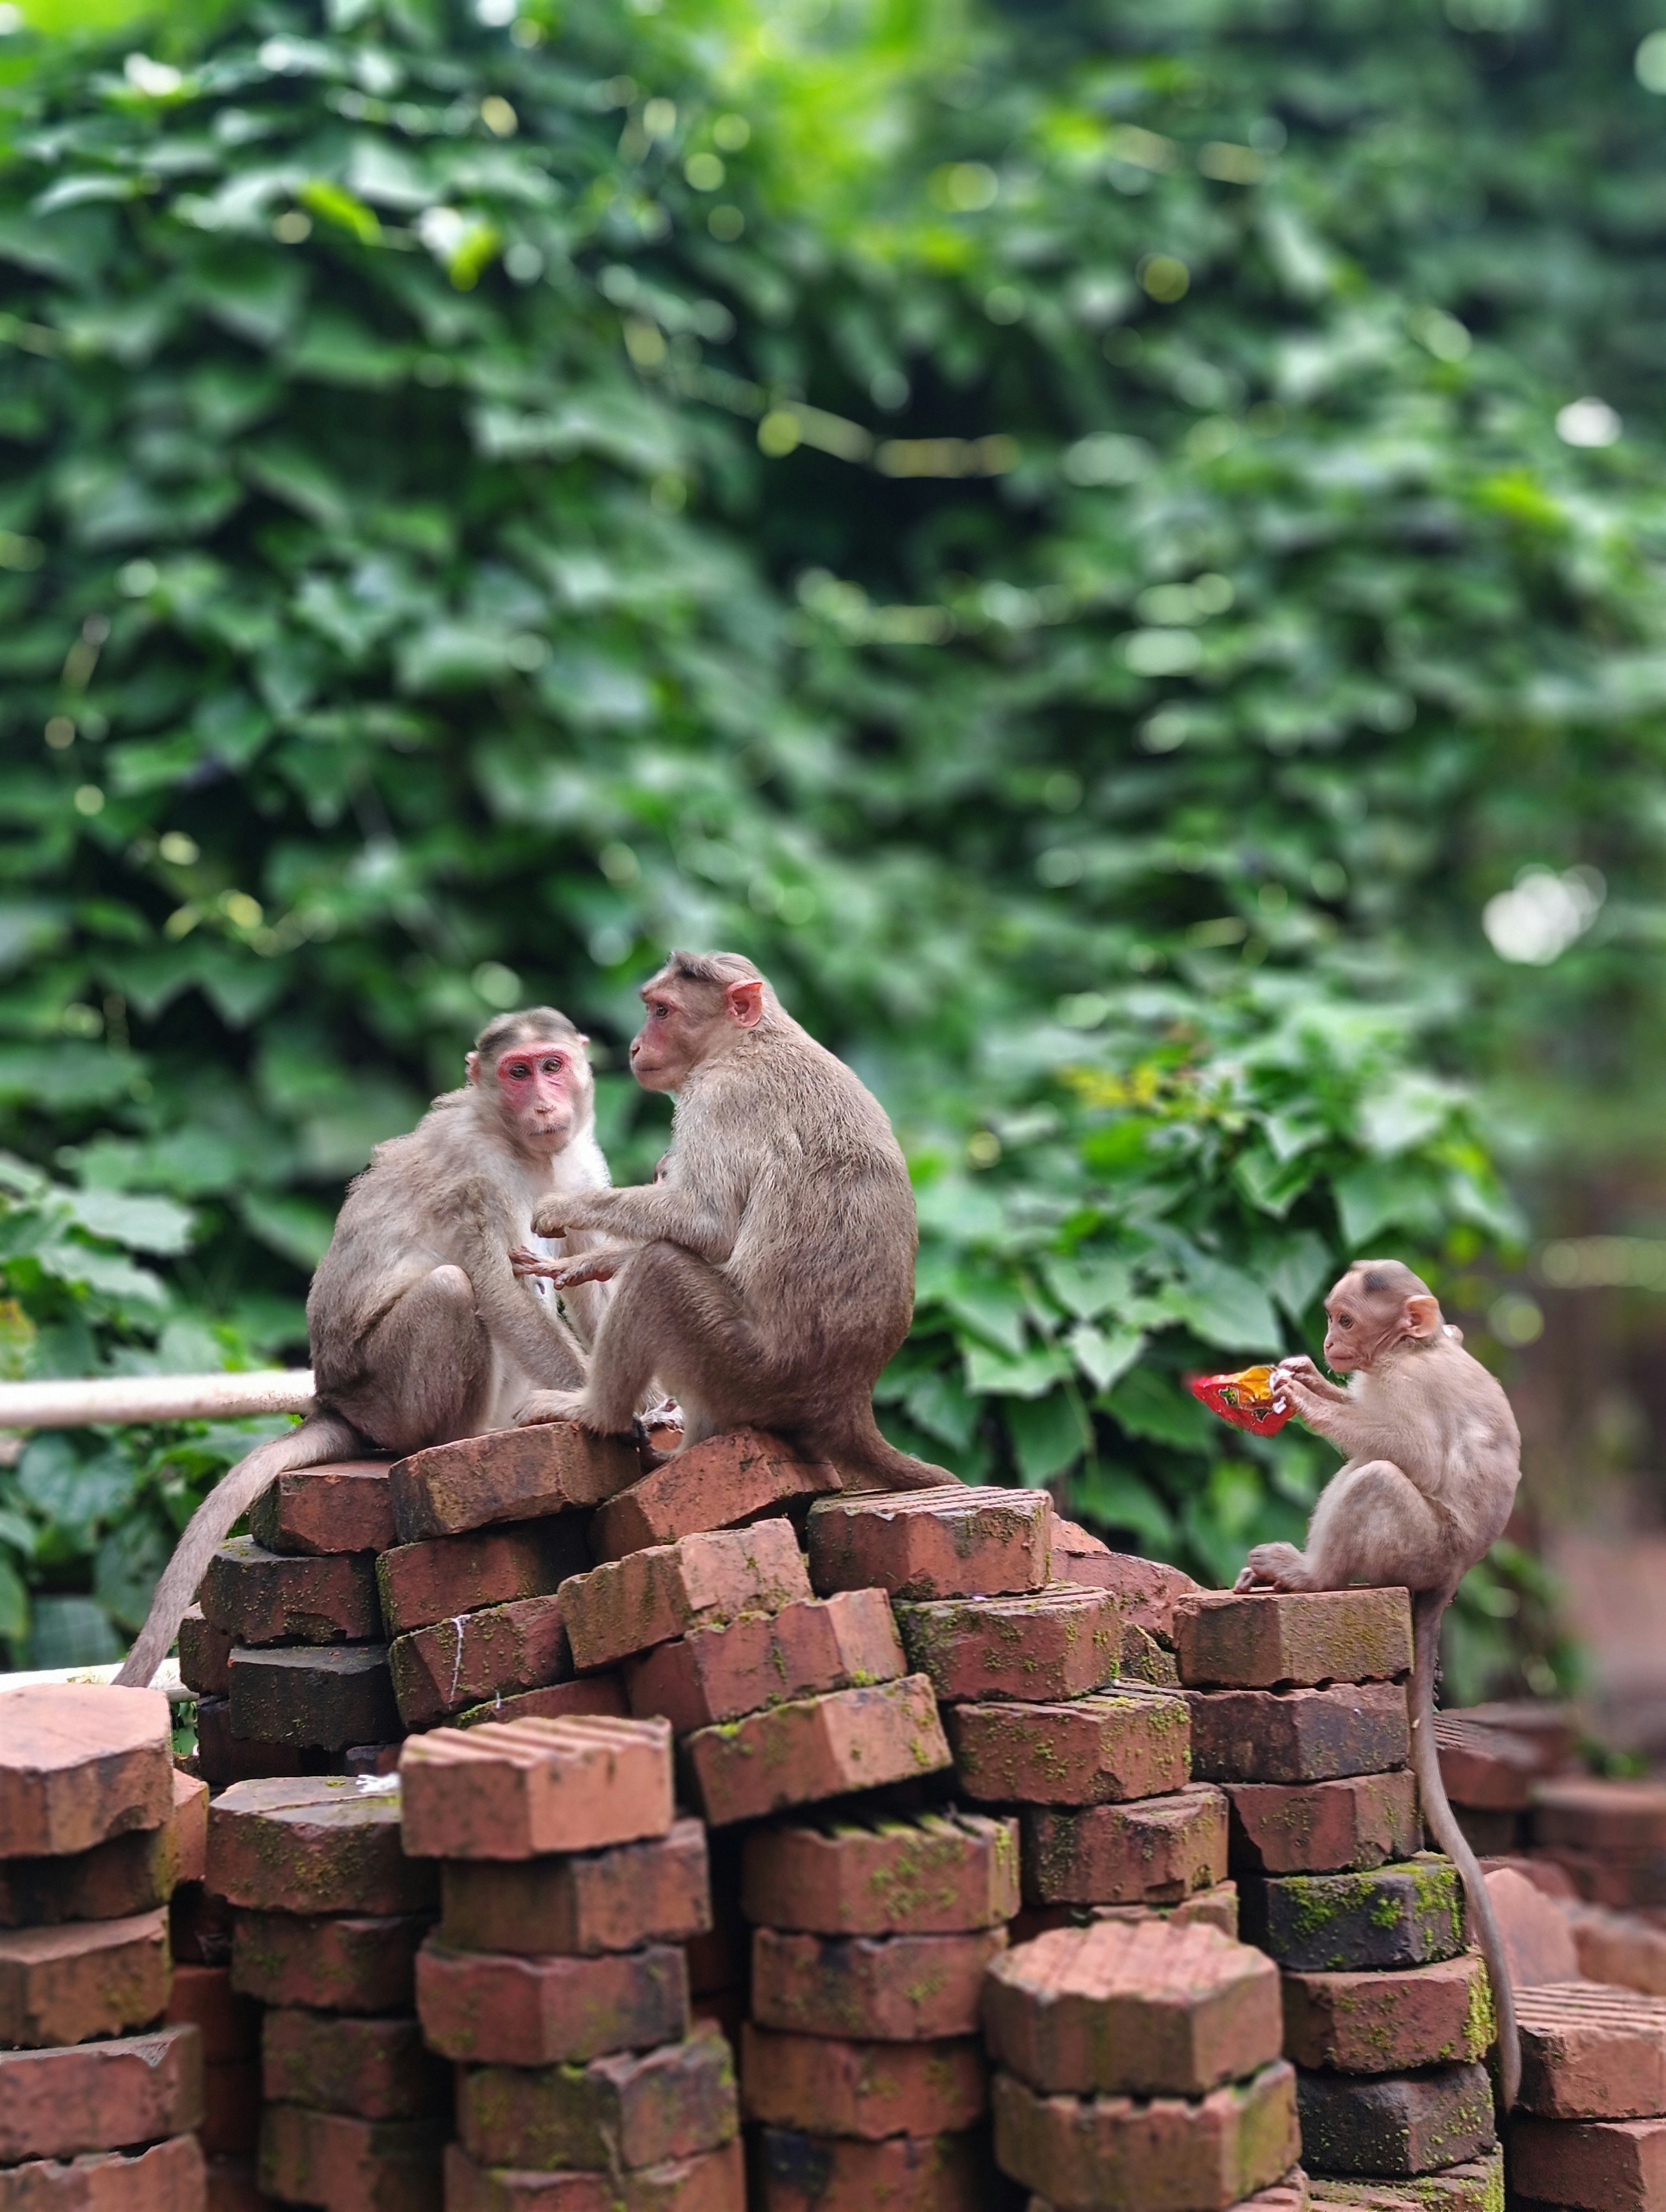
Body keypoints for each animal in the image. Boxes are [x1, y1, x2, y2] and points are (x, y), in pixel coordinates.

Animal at [114, 1009, 611, 1690]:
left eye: (552, 1065)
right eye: (518, 1072)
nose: (542, 1102)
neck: (524, 1146)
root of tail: (333, 1401)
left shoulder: (579, 1164)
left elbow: (585, 1277)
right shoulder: (477, 1172)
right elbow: (498, 1288)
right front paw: (615, 1412)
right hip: (389, 1398)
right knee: (453, 1289)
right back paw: (462, 1437)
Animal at [506, 950, 954, 1492]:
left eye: (662, 1012)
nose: (635, 1046)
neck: (753, 1039)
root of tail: (847, 1400)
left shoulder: (719, 1097)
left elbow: (708, 1222)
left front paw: (564, 1209)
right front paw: (592, 1263)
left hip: (744, 1370)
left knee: (661, 1271)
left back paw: (597, 1413)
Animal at [1233, 1258, 1523, 2110]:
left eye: (1347, 1320)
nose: (1330, 1344)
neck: (1412, 1347)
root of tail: (1451, 1581)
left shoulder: (1408, 1385)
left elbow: (1405, 1451)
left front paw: (1304, 1399)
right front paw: (1303, 1378)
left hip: (1420, 1545)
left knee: (1377, 1479)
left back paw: (1311, 1575)